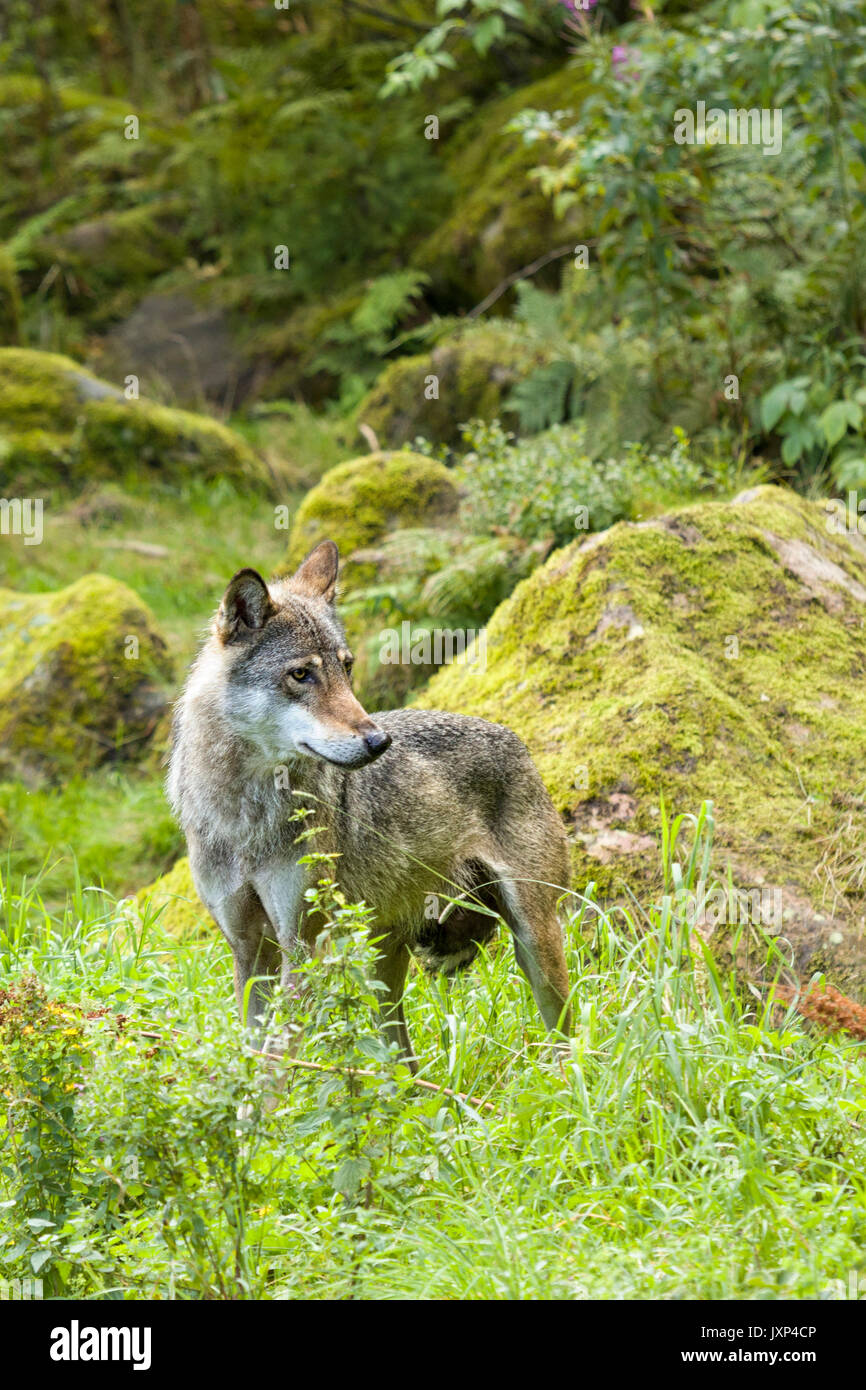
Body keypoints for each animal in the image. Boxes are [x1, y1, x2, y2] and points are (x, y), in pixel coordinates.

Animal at [167, 540, 571, 1068]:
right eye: (301, 674)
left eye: (347, 668)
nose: (380, 742)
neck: (243, 814)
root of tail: (516, 739)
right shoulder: (249, 949)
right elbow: (258, 1054)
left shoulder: (303, 947)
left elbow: (277, 1062)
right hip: (385, 970)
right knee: (402, 1062)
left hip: (534, 943)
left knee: (568, 1037)